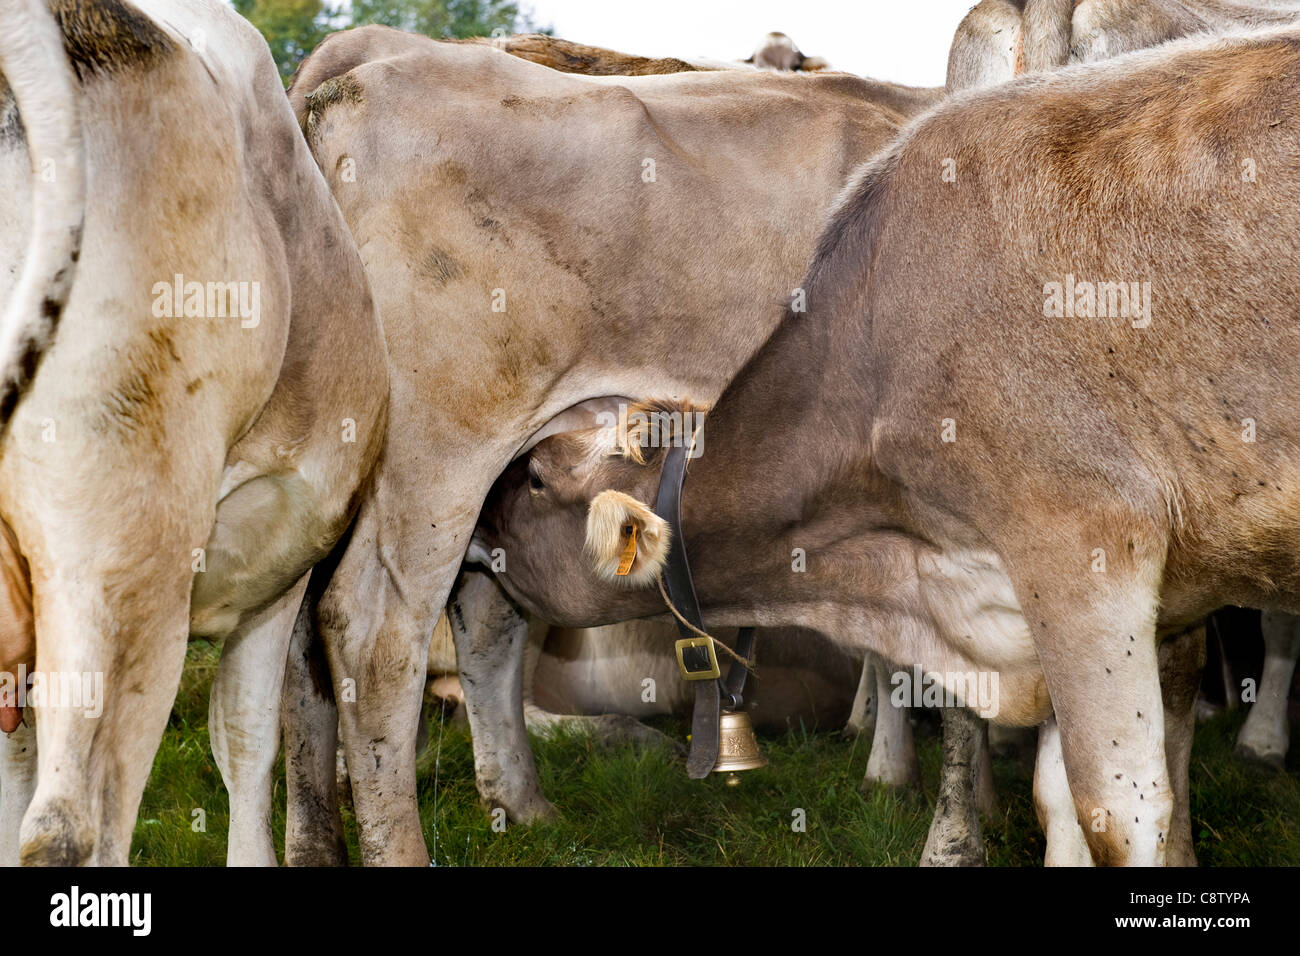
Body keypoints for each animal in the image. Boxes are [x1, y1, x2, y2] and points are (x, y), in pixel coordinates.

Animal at [278, 25, 945, 864]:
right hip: (435, 453)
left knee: (381, 634)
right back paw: (402, 844)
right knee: (374, 637)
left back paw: (470, 812)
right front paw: (895, 777)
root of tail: (339, 79)